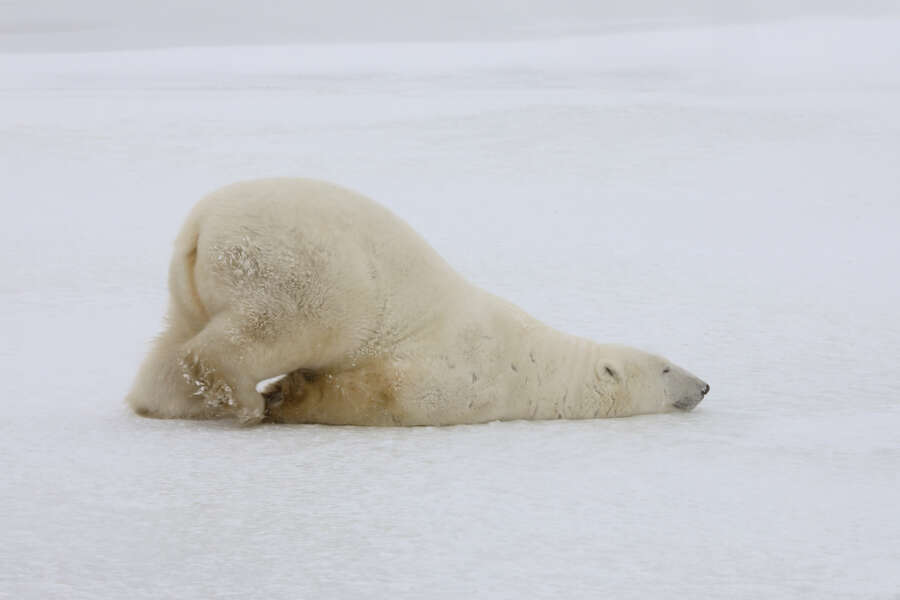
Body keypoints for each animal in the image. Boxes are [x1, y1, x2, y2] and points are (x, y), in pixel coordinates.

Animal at [126, 178, 709, 425]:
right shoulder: (461, 374)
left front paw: (286, 395)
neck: (540, 366)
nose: (704, 385)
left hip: (191, 284)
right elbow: (381, 394)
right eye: (666, 367)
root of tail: (202, 225)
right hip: (297, 269)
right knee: (283, 327)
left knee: (173, 341)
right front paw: (286, 398)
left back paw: (171, 401)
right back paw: (244, 401)